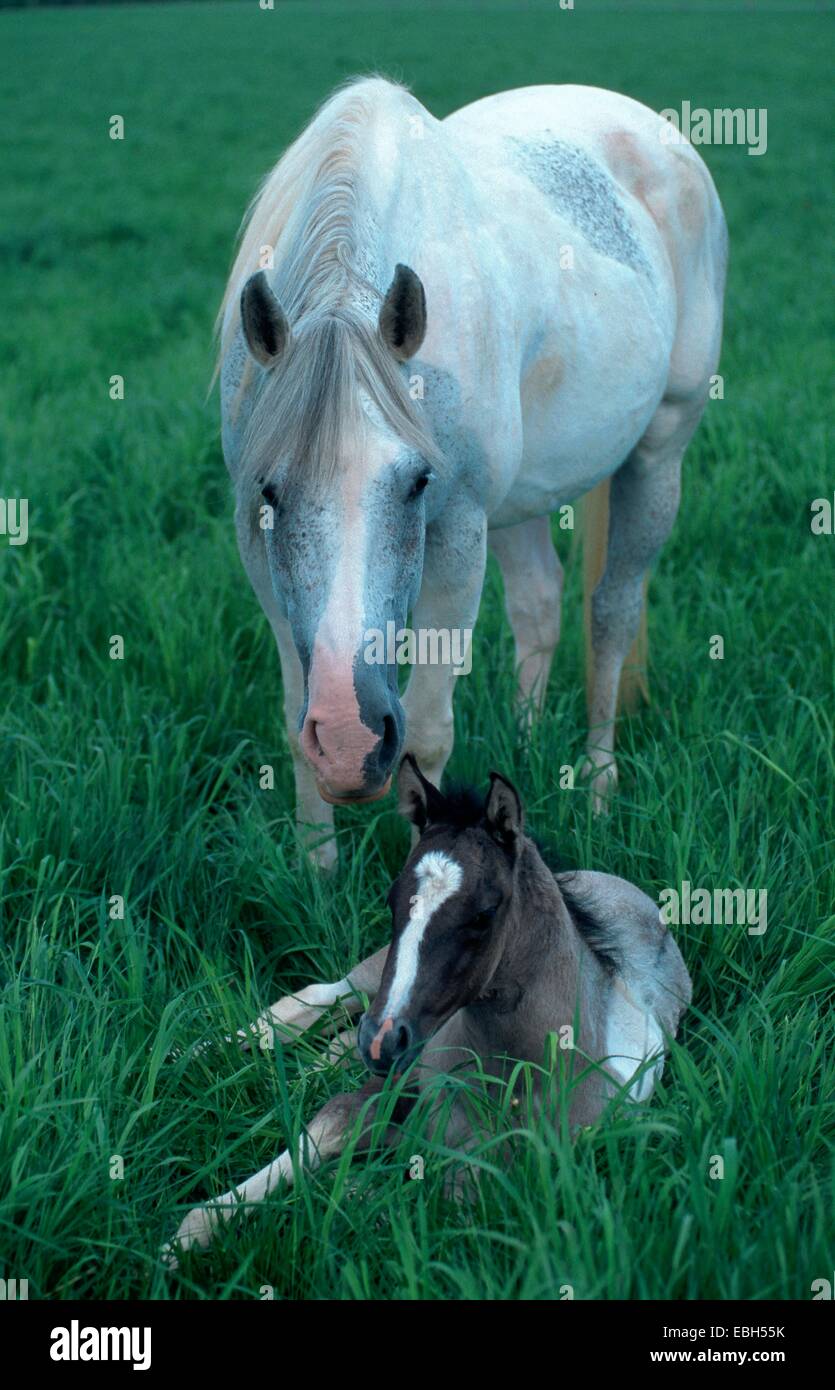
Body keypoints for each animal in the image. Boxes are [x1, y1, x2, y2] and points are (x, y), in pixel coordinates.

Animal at [165, 756, 692, 1263]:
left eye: (484, 914)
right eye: (391, 898)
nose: (383, 1040)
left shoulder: (492, 1177)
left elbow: (375, 1198)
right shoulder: (395, 1082)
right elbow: (333, 1126)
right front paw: (183, 1242)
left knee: (334, 1045)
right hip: (370, 979)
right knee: (319, 997)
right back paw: (187, 1058)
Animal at [218, 77, 727, 863]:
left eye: (416, 483)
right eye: (271, 488)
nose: (351, 743)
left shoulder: (457, 531)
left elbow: (427, 735)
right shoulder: (257, 547)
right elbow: (292, 719)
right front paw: (315, 868)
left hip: (660, 451)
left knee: (610, 612)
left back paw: (599, 782)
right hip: (517, 502)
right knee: (540, 604)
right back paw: (526, 740)